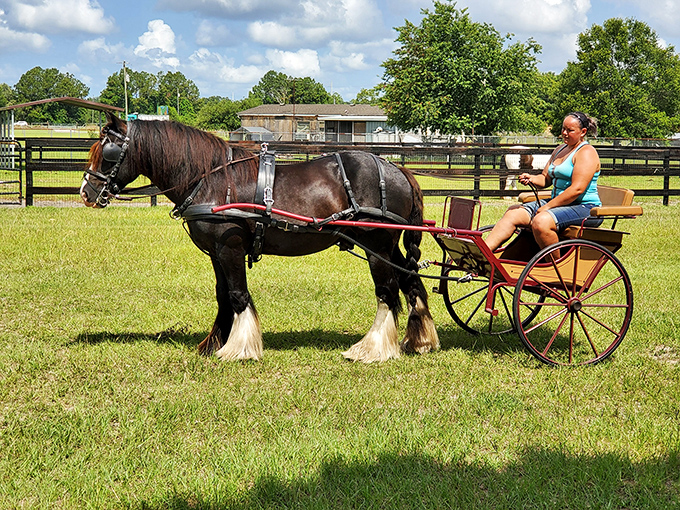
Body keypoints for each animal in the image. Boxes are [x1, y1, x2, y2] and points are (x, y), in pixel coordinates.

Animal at [80, 112, 439, 362]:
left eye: (108, 154)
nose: (86, 192)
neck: (211, 179)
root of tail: (396, 169)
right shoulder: (216, 252)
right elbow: (222, 295)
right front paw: (214, 342)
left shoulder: (230, 248)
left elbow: (238, 295)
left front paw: (239, 348)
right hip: (388, 246)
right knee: (410, 282)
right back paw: (419, 340)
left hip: (376, 244)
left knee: (387, 292)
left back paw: (373, 349)